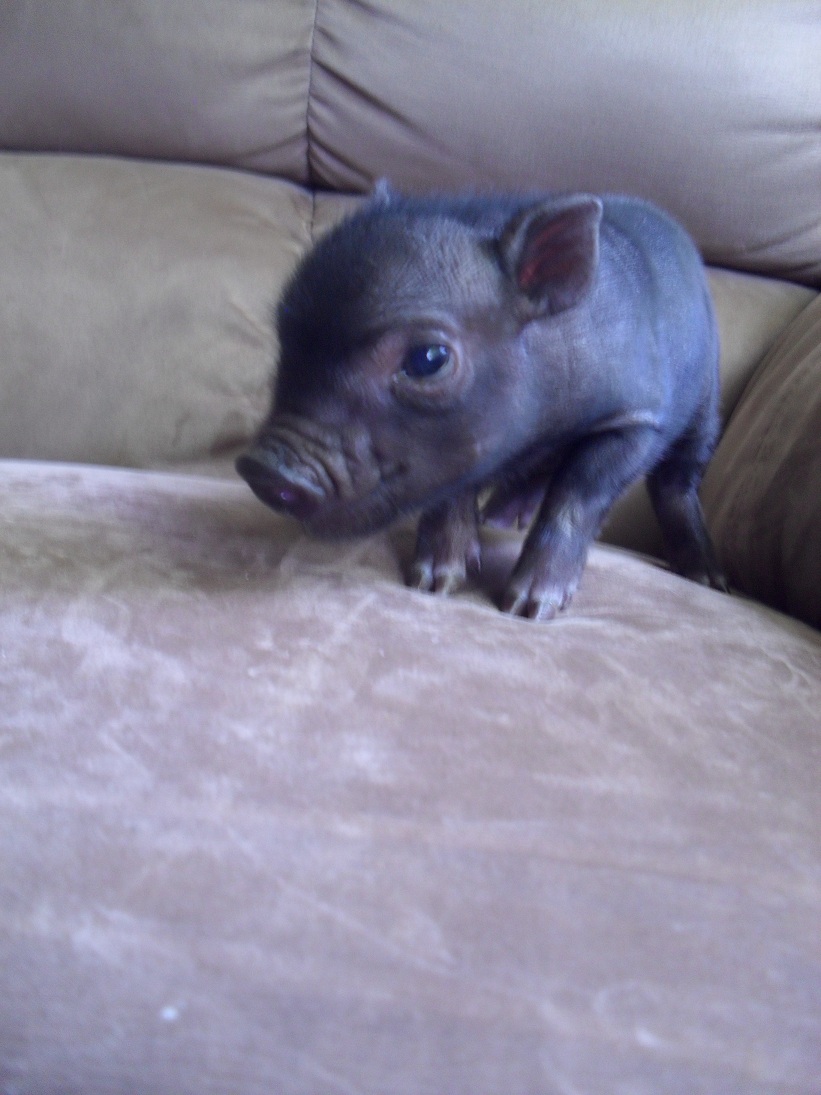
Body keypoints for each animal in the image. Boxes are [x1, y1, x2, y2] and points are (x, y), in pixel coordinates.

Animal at [236, 184, 728, 620]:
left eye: (428, 358)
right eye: (286, 340)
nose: (261, 468)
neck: (541, 426)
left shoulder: (636, 419)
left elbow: (577, 495)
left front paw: (527, 608)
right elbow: (455, 489)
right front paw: (433, 583)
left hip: (705, 405)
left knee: (676, 483)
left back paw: (708, 578)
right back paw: (498, 519)